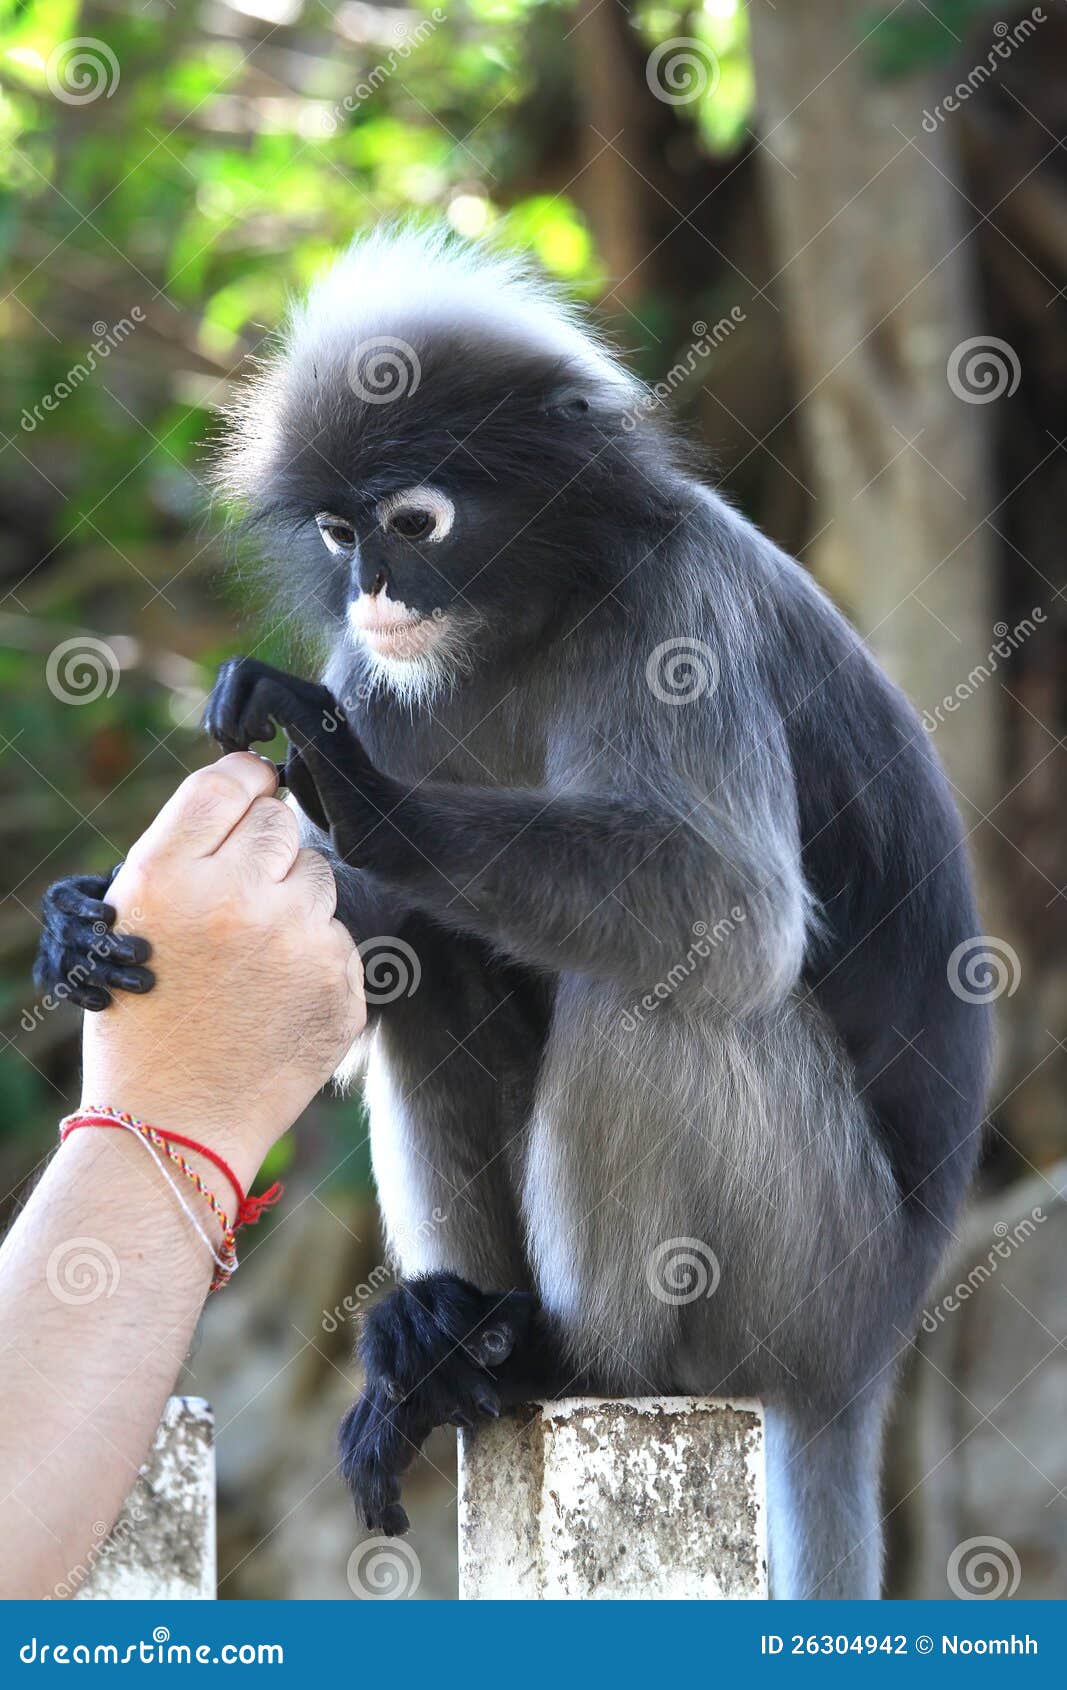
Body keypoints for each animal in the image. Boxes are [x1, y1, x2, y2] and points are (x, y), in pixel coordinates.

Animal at [35, 227, 993, 1599]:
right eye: (338, 531)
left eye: (413, 520)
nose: (374, 589)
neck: (527, 621)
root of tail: (867, 1358)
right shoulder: (384, 670)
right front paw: (77, 918)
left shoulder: (674, 609)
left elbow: (735, 908)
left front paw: (359, 793)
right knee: (420, 953)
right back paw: (449, 1340)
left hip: (814, 1276)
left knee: (657, 994)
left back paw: (572, 1359)